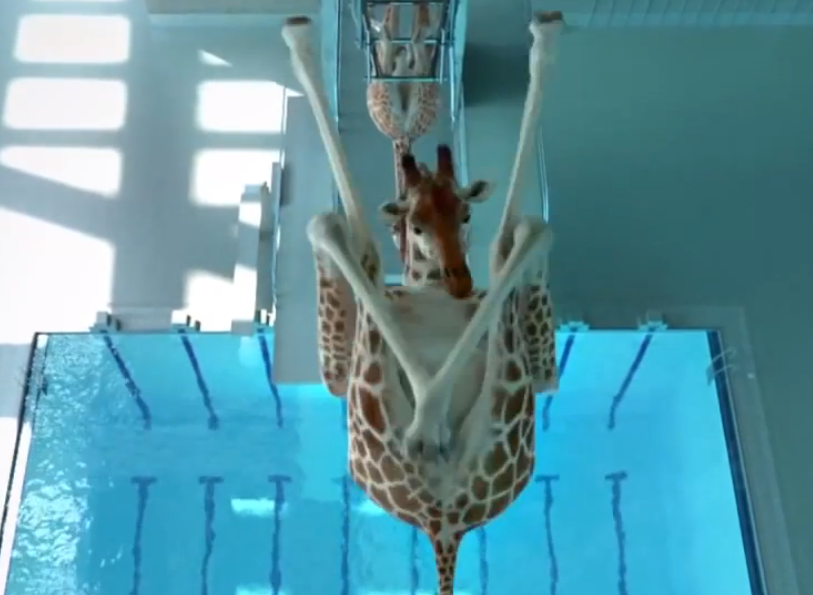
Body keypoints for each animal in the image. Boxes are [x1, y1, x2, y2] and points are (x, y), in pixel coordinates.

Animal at [283, 10, 563, 594]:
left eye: (465, 214)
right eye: (415, 223)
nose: (459, 281)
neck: (429, 287)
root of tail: (444, 523)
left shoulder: (544, 374)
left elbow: (512, 239)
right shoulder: (338, 377)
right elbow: (346, 236)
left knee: (525, 233)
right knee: (338, 230)